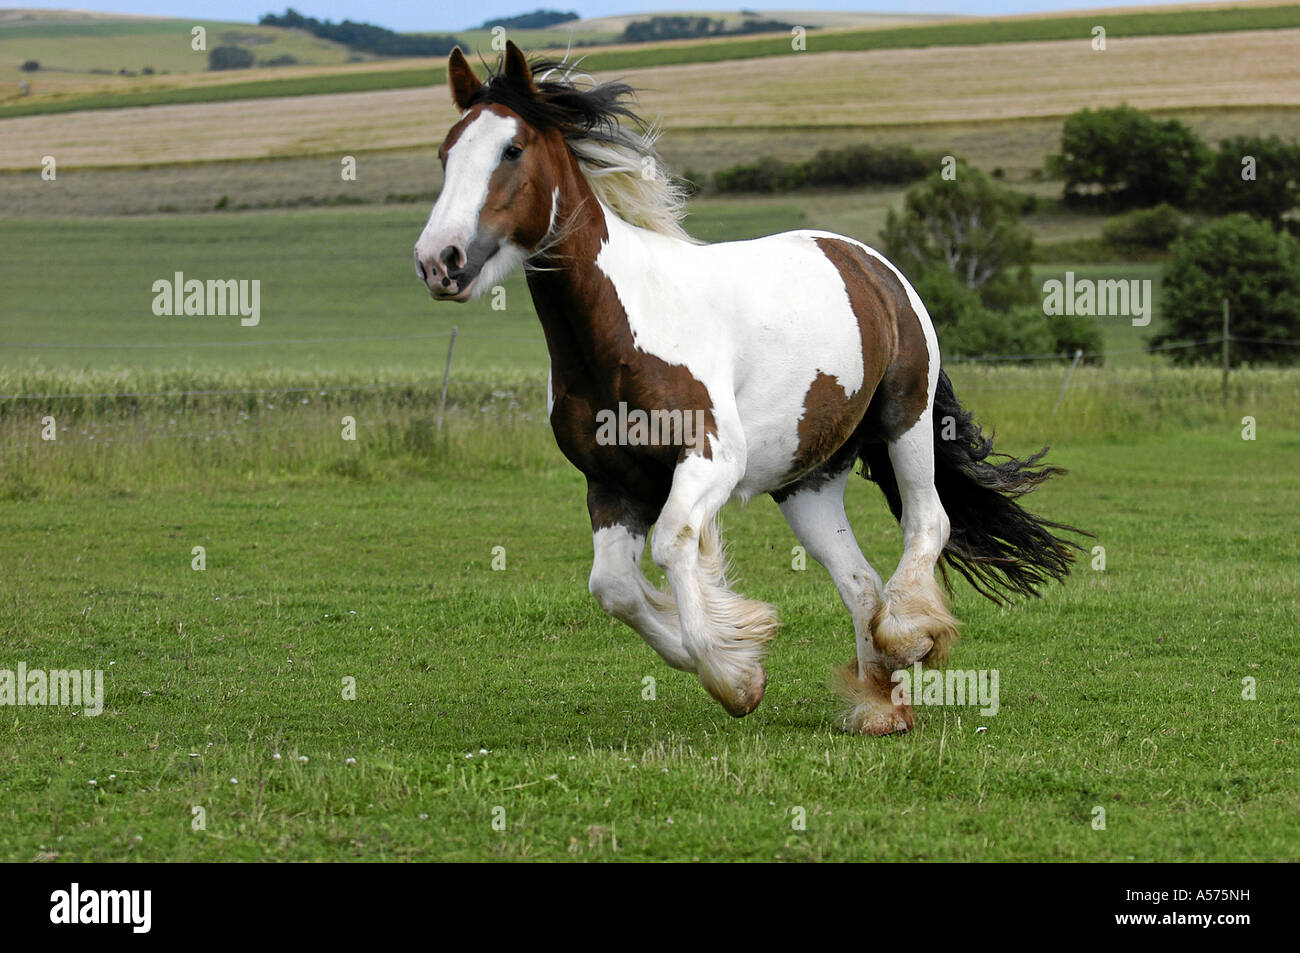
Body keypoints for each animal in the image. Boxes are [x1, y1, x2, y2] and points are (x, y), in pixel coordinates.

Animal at [414, 43, 1085, 734]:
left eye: (512, 149)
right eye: (445, 153)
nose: (441, 260)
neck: (623, 329)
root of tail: (870, 262)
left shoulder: (711, 459)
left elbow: (674, 543)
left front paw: (734, 677)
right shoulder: (610, 484)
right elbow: (615, 588)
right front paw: (740, 658)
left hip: (908, 419)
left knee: (928, 522)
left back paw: (906, 638)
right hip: (806, 482)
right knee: (859, 581)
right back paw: (880, 702)